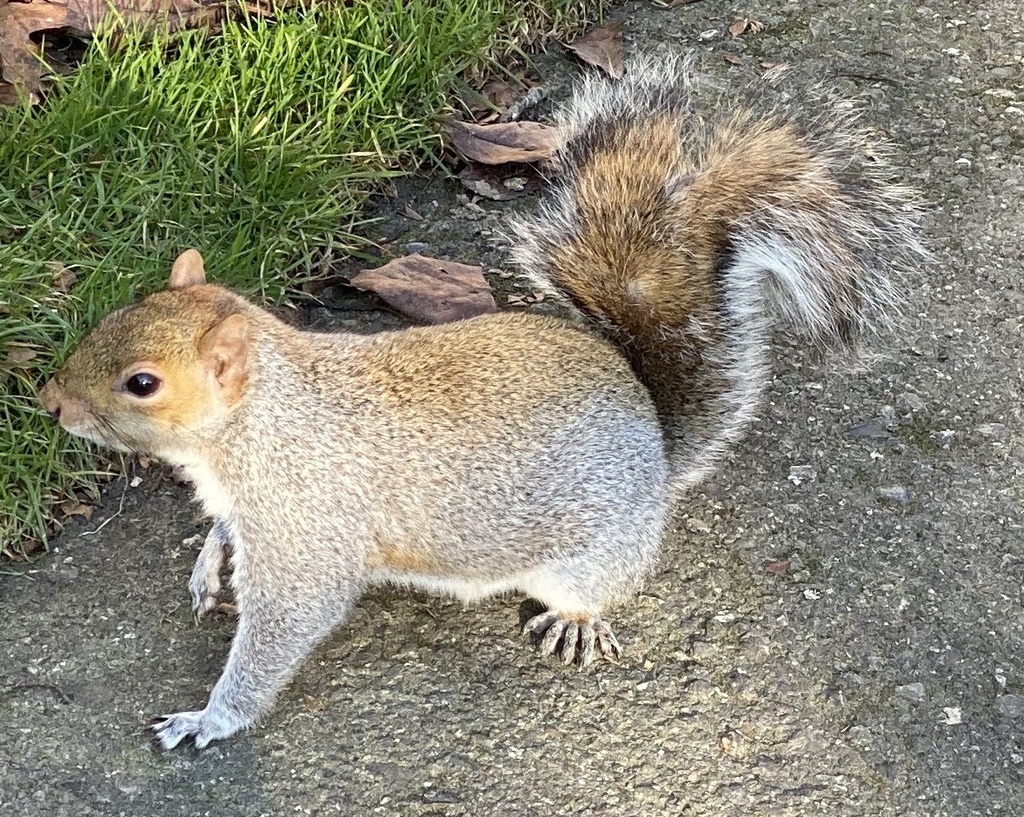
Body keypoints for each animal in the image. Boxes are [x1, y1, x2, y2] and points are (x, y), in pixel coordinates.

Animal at [38, 53, 923, 750]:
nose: (50, 402)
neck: (258, 424)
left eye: (142, 382)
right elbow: (223, 532)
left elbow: (283, 629)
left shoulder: (308, 526)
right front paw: (208, 564)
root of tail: (655, 436)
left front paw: (212, 717)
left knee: (601, 583)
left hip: (594, 549)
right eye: (115, 313)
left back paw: (577, 619)